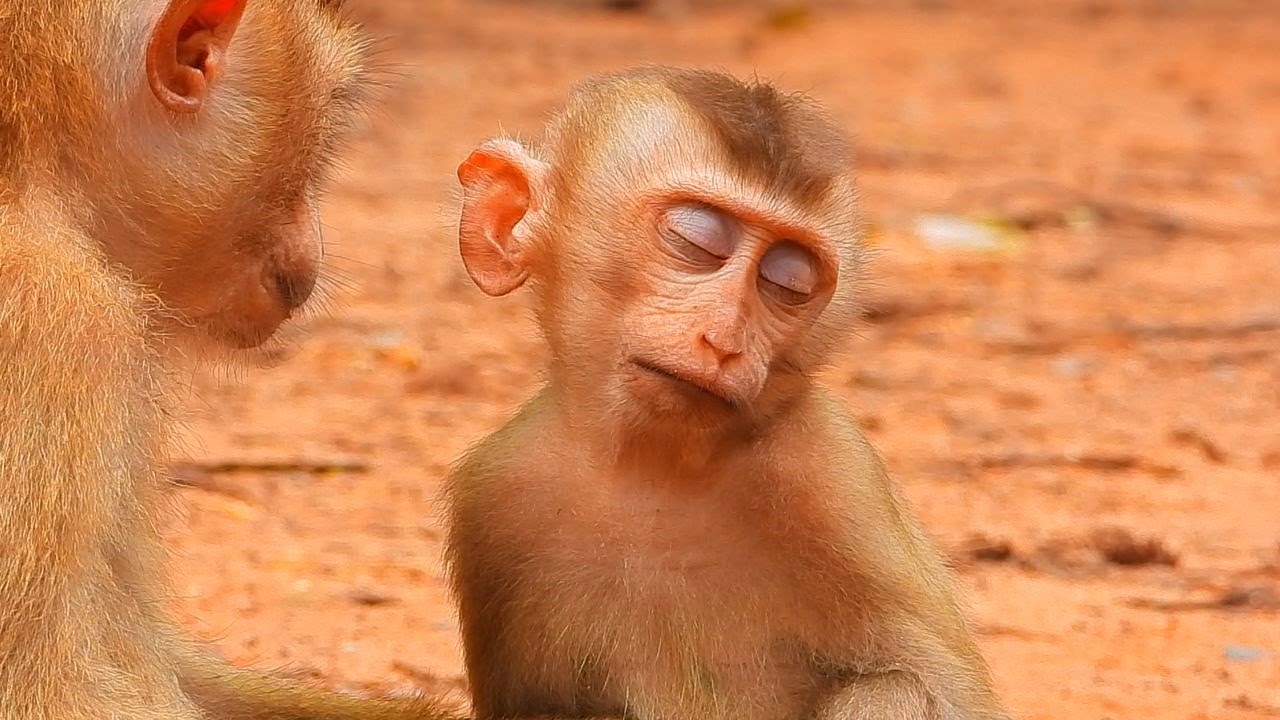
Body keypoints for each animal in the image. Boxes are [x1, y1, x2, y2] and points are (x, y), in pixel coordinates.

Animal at [442, 66, 1010, 720]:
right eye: (697, 241)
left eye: (789, 280)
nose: (725, 339)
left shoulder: (833, 471)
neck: (650, 471)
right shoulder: (495, 492)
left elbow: (927, 683)